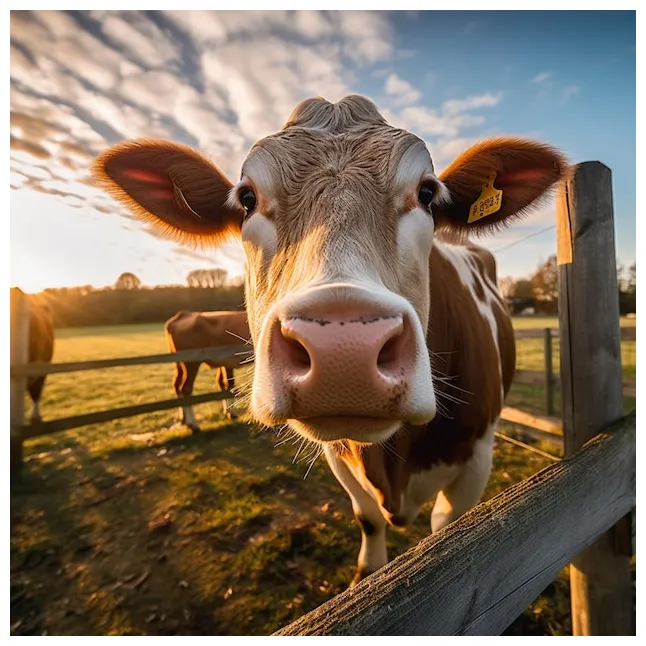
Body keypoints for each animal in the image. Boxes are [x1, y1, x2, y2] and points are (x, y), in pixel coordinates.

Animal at [92, 95, 567, 585]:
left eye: (427, 194)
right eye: (247, 198)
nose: (345, 348)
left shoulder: (477, 458)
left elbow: (448, 532)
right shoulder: (340, 458)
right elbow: (367, 519)